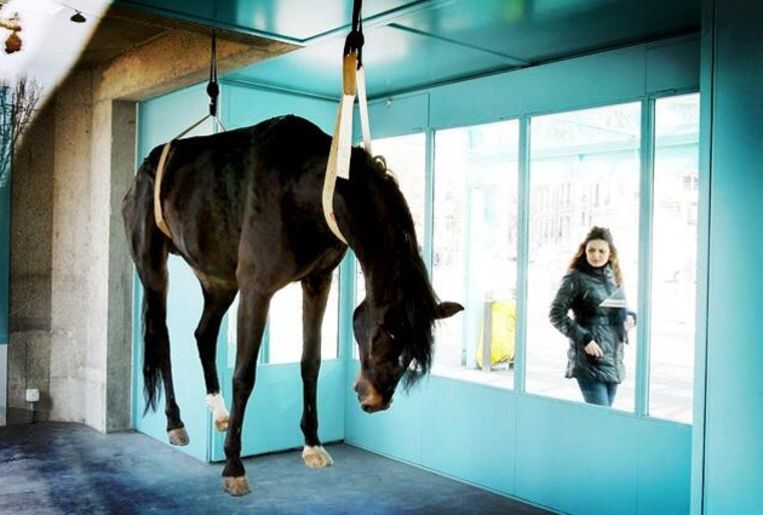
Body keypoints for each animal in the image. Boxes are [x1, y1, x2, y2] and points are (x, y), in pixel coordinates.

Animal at [121, 114, 463, 496]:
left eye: (410, 351)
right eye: (382, 336)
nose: (374, 401)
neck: (304, 189)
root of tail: (143, 170)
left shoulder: (318, 282)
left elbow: (310, 362)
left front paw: (312, 445)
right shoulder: (257, 290)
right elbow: (244, 375)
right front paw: (233, 466)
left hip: (219, 283)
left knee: (203, 335)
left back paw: (220, 412)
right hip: (153, 268)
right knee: (162, 338)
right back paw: (175, 423)